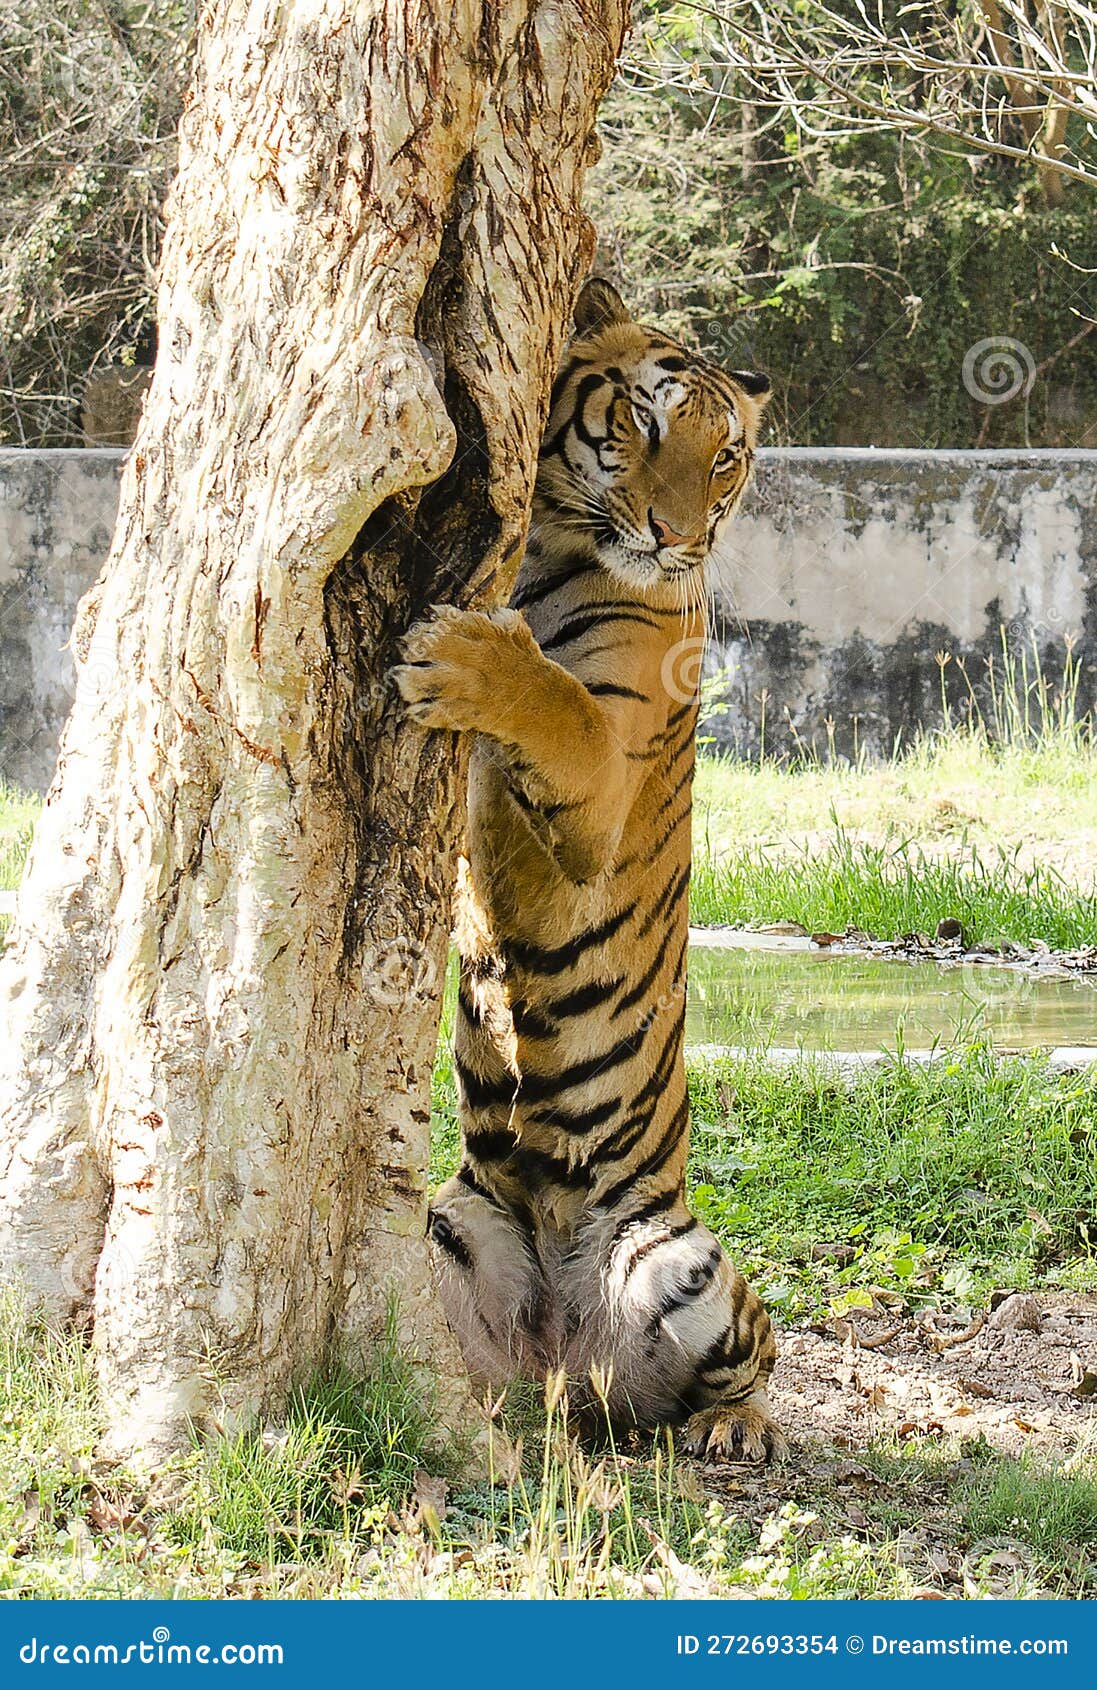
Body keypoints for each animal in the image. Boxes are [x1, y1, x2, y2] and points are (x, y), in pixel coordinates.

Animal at [393, 278, 783, 1461]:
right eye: (646, 427)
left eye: (724, 458)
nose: (678, 537)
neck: (558, 547)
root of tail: (565, 1350)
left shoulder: (603, 772)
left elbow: (550, 699)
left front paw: (463, 656)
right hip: (452, 1221)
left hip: (682, 1263)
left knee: (762, 1352)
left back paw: (737, 1428)